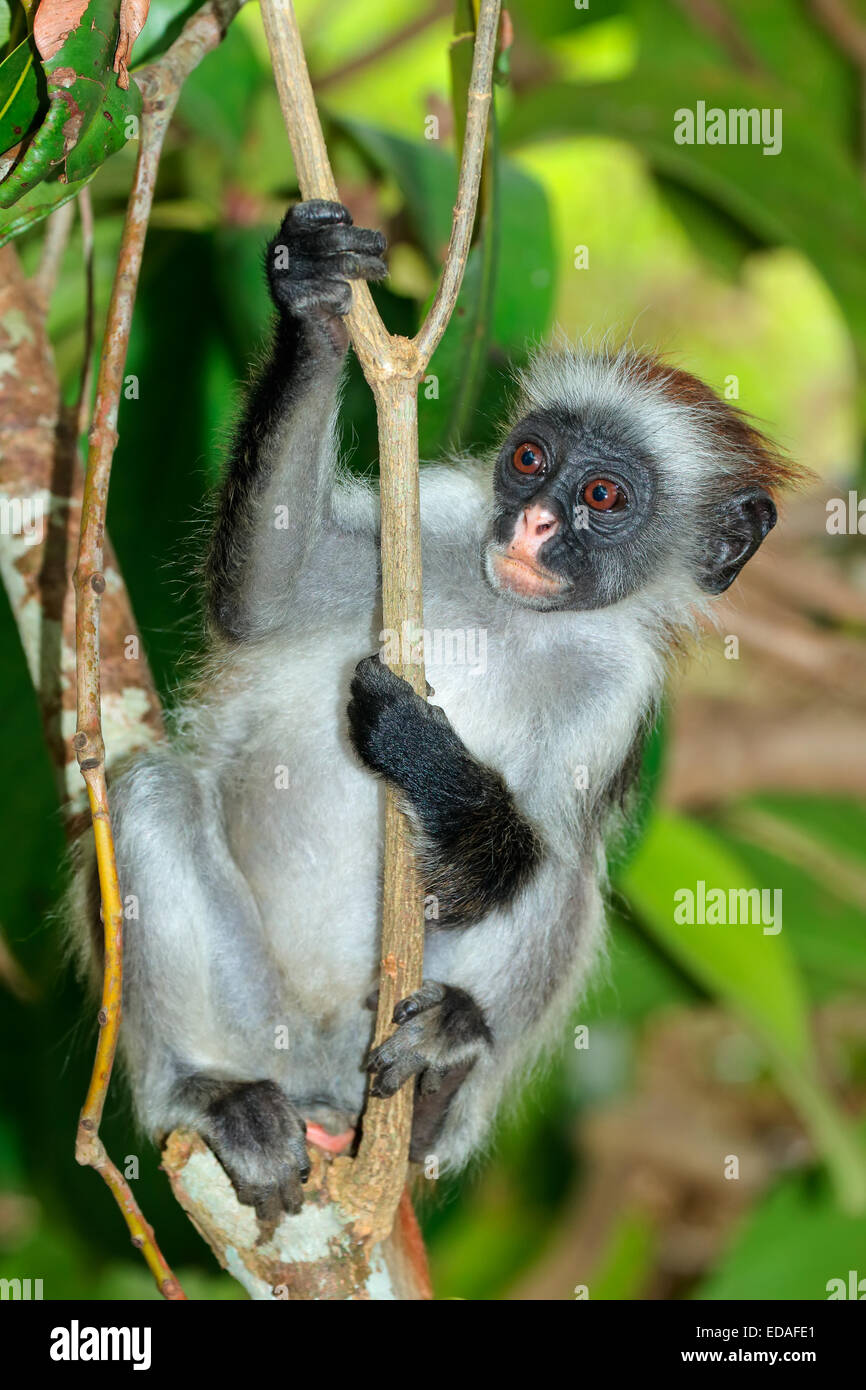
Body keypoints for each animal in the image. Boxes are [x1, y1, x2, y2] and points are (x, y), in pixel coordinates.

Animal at [69, 198, 797, 1223]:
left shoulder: (617, 690)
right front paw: (314, 298)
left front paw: (418, 751)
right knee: (150, 798)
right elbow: (260, 599)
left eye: (602, 495)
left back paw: (441, 1080)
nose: (534, 523)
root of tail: (329, 1079)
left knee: (562, 874)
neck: (515, 618)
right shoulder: (444, 512)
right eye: (530, 459)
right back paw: (212, 1095)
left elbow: (500, 869)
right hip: (268, 1024)